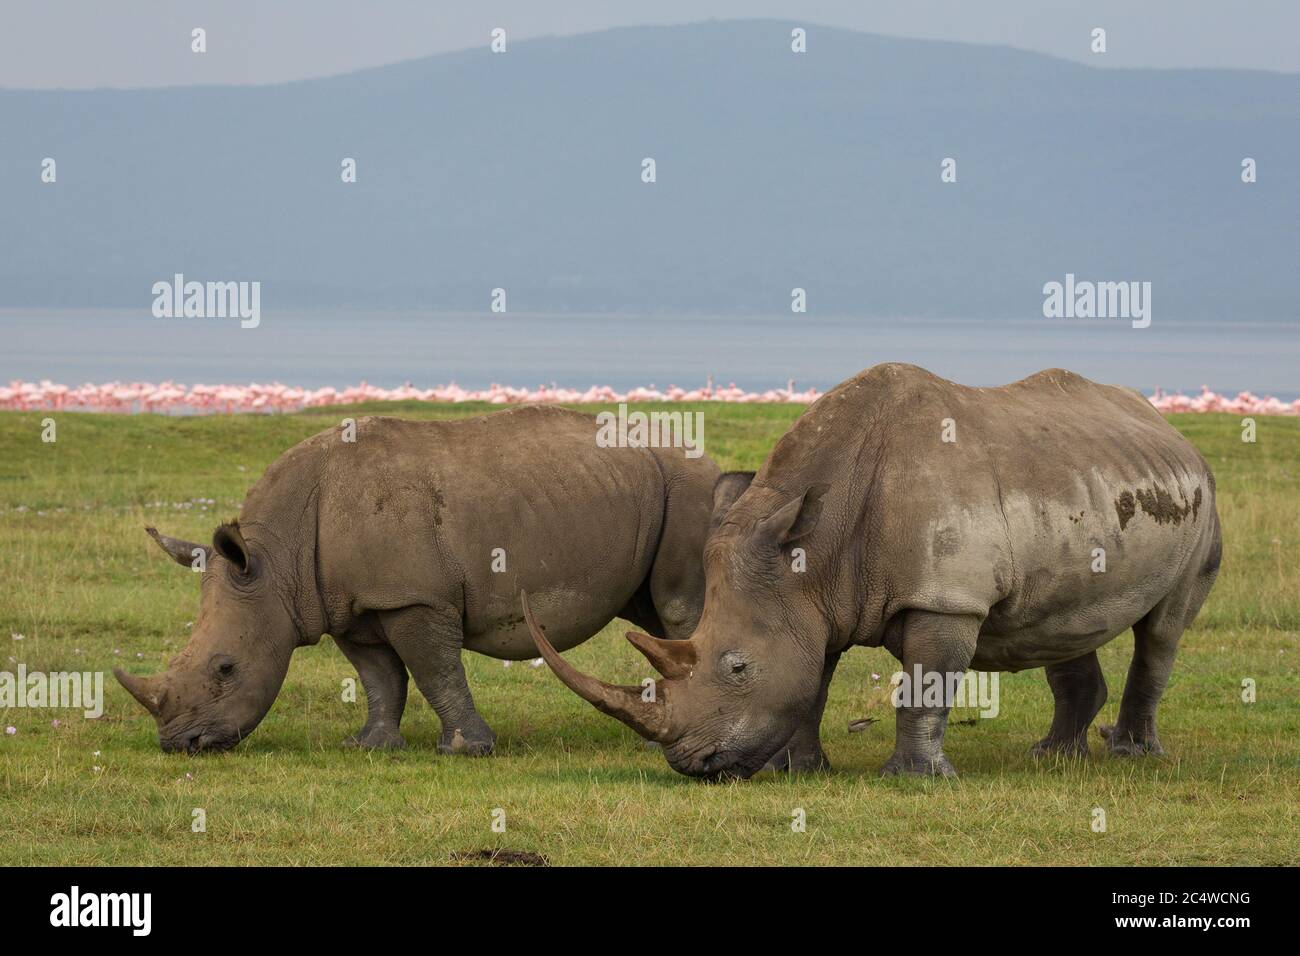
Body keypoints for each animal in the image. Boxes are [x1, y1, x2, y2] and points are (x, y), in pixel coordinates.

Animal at [115, 405, 745, 754]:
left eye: (226, 668)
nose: (180, 745)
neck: (276, 560)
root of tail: (707, 458)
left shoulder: (413, 597)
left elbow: (435, 670)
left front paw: (467, 750)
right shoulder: (350, 604)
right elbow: (379, 677)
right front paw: (369, 746)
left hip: (688, 491)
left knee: (681, 607)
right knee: (655, 613)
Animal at [526, 364, 1223, 779]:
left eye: (737, 668)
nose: (691, 762)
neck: (813, 553)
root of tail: (1167, 427)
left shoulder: (945, 597)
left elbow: (925, 685)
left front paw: (915, 779)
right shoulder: (813, 600)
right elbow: (812, 680)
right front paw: (800, 771)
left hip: (1204, 497)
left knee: (1162, 630)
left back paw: (1132, 756)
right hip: (1091, 483)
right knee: (1061, 622)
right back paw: (1052, 756)